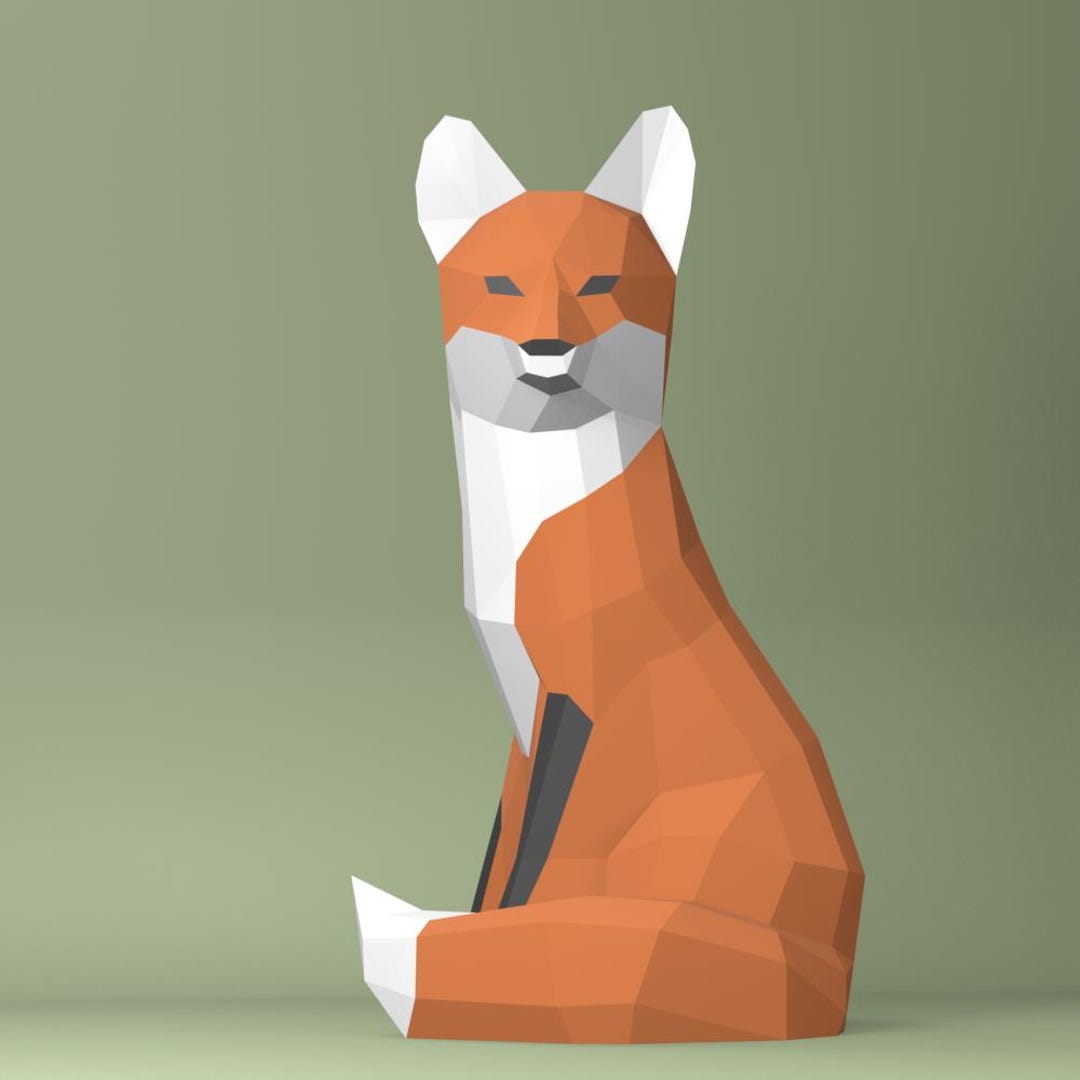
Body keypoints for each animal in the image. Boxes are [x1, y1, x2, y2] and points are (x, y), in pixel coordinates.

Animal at [351, 106, 864, 1044]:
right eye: (504, 285)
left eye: (599, 283)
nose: (547, 343)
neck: (529, 522)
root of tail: (826, 982)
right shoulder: (521, 708)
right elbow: (498, 865)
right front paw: (480, 928)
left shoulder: (577, 690)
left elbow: (533, 872)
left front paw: (492, 956)